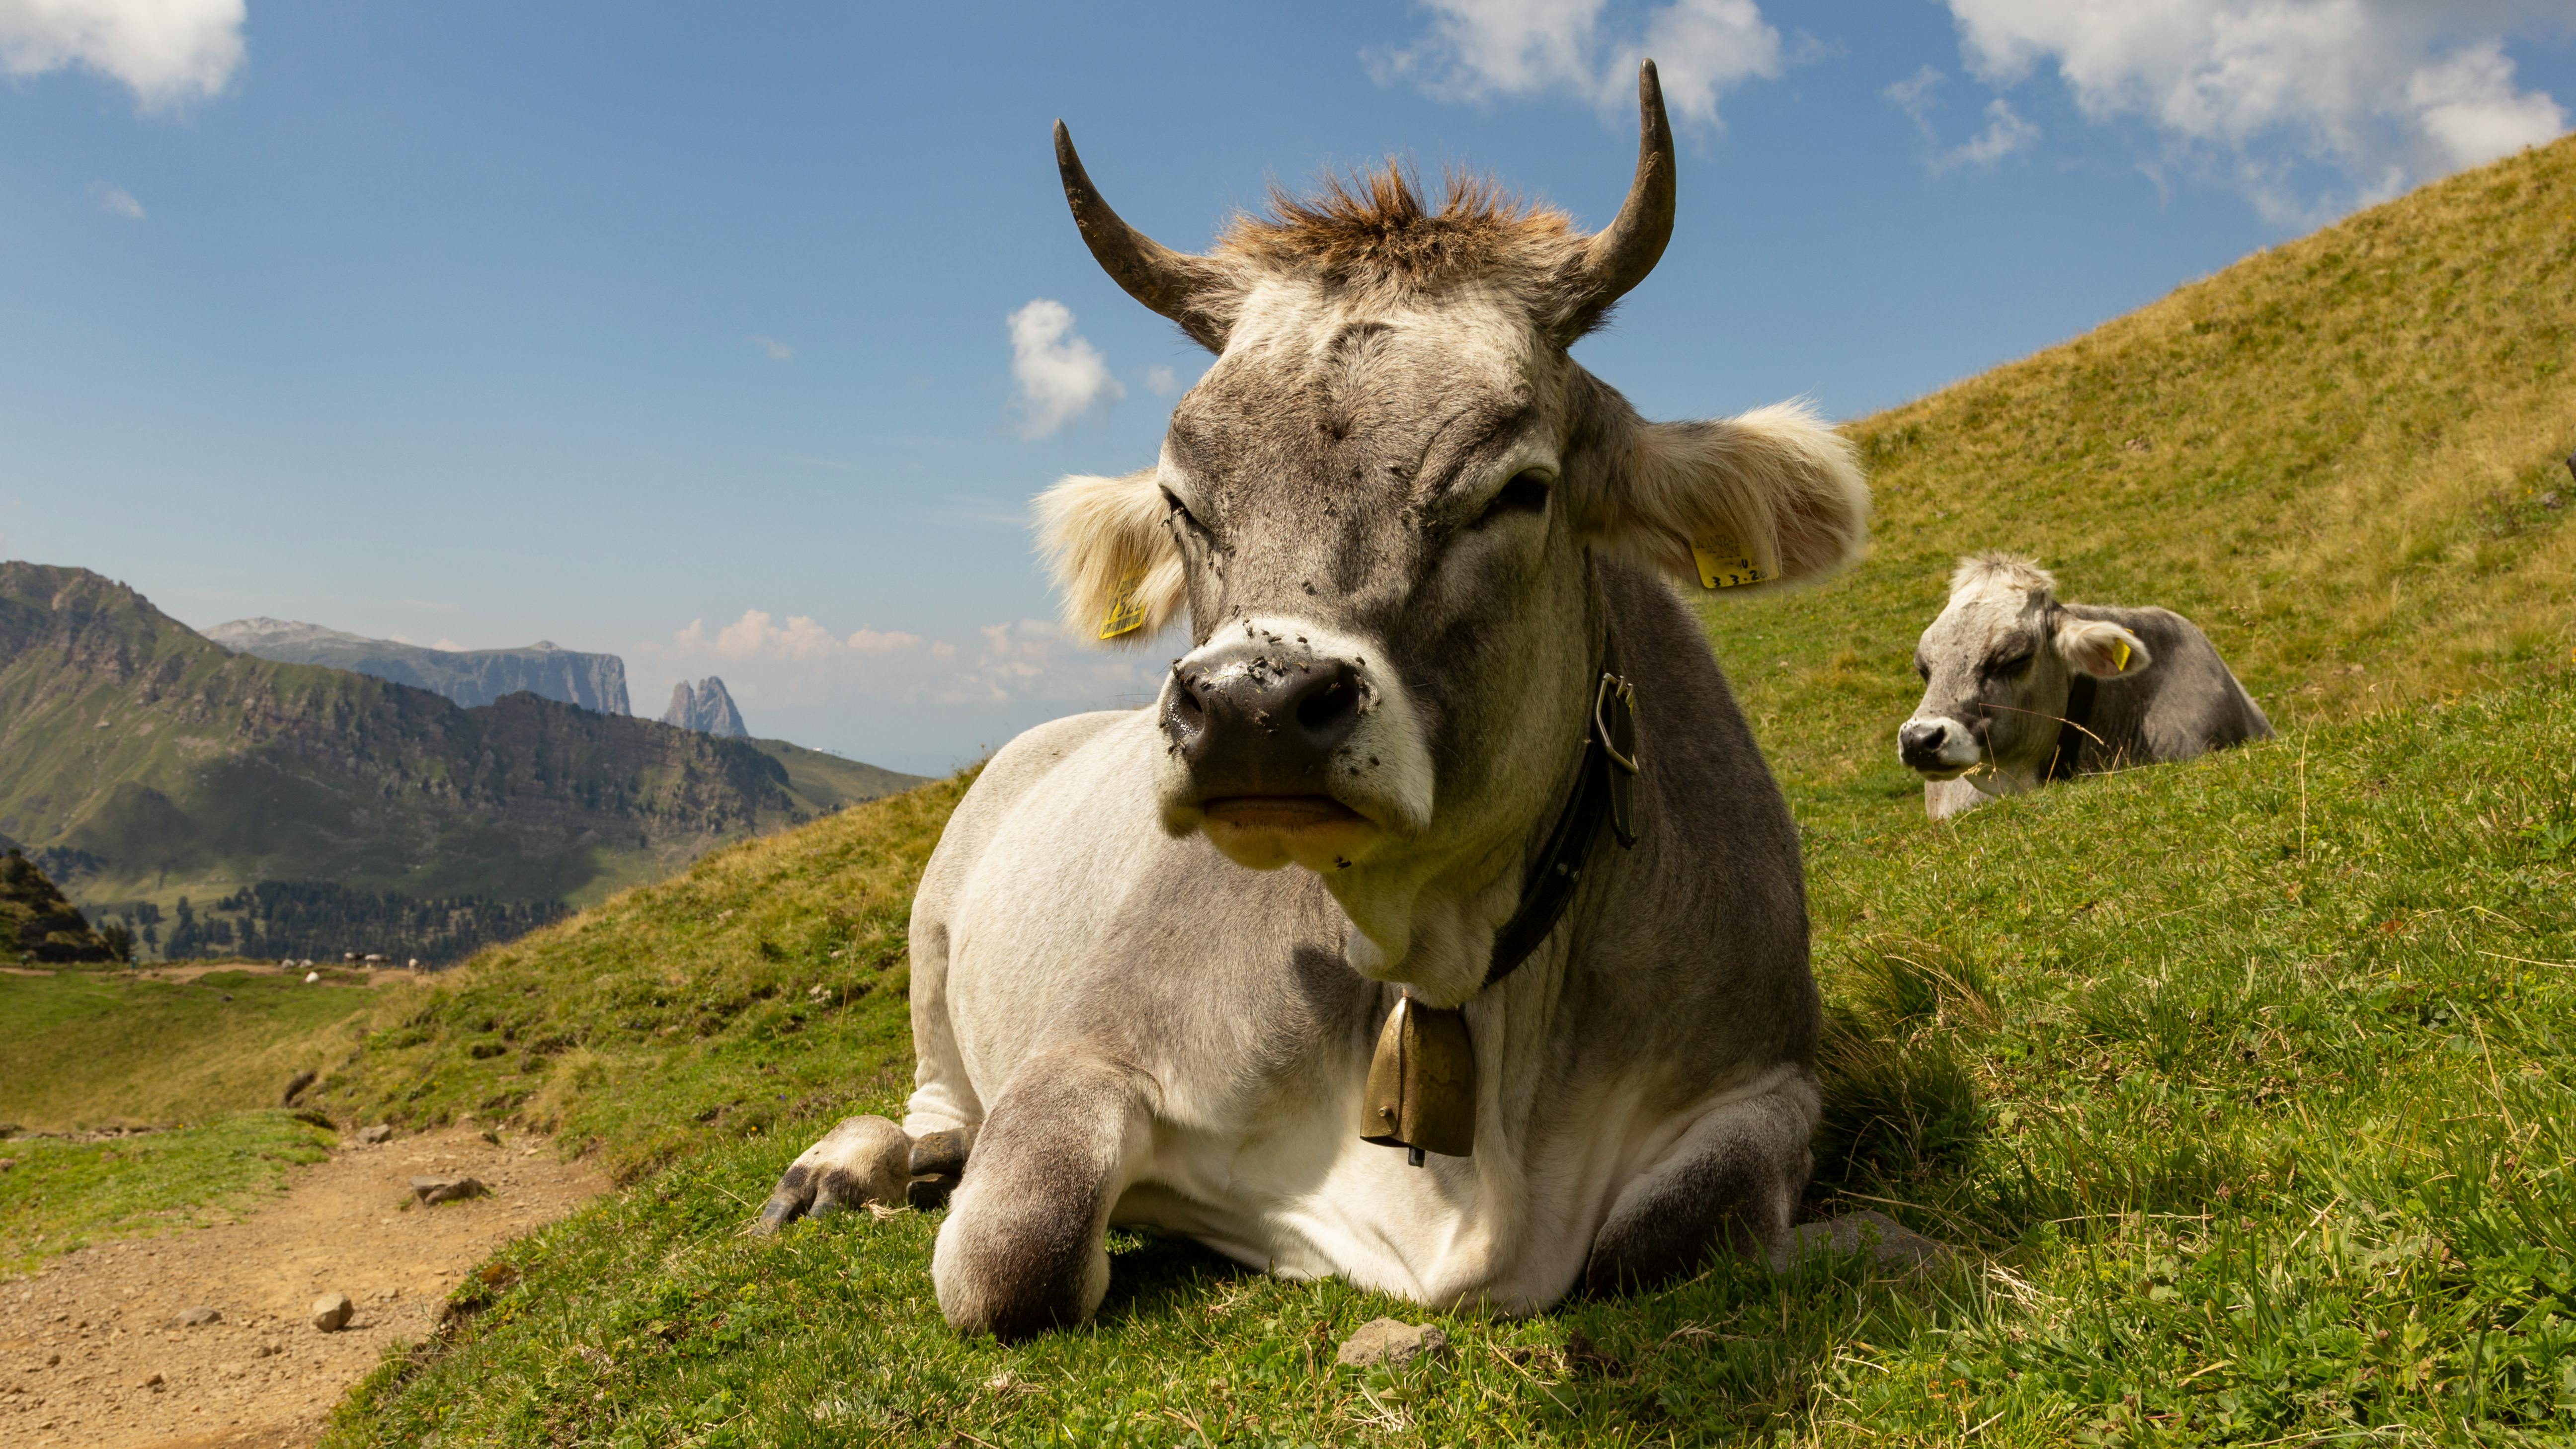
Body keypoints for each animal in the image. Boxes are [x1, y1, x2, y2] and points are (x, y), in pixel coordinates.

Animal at [756, 63, 1872, 1339]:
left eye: (1520, 487)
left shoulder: (1769, 1076)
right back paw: (858, 1162)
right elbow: (1011, 1254)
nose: (1253, 706)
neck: (1442, 961)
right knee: (938, 1103)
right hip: (934, 931)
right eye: (1179, 499)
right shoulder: (1087, 1049)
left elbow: (1667, 1232)